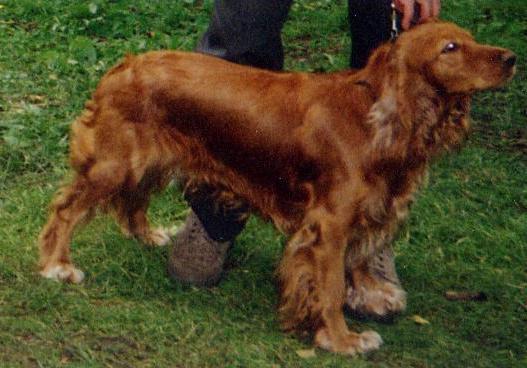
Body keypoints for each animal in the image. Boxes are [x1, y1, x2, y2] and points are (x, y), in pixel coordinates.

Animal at [37, 21, 516, 356]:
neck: (376, 115)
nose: (511, 57)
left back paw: (147, 235)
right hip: (116, 163)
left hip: (152, 159)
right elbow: (329, 288)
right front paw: (342, 340)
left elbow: (357, 259)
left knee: (133, 200)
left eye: (470, 39)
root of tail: (123, 65)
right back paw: (58, 265)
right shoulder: (328, 223)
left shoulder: (363, 211)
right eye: (450, 48)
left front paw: (371, 292)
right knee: (65, 209)